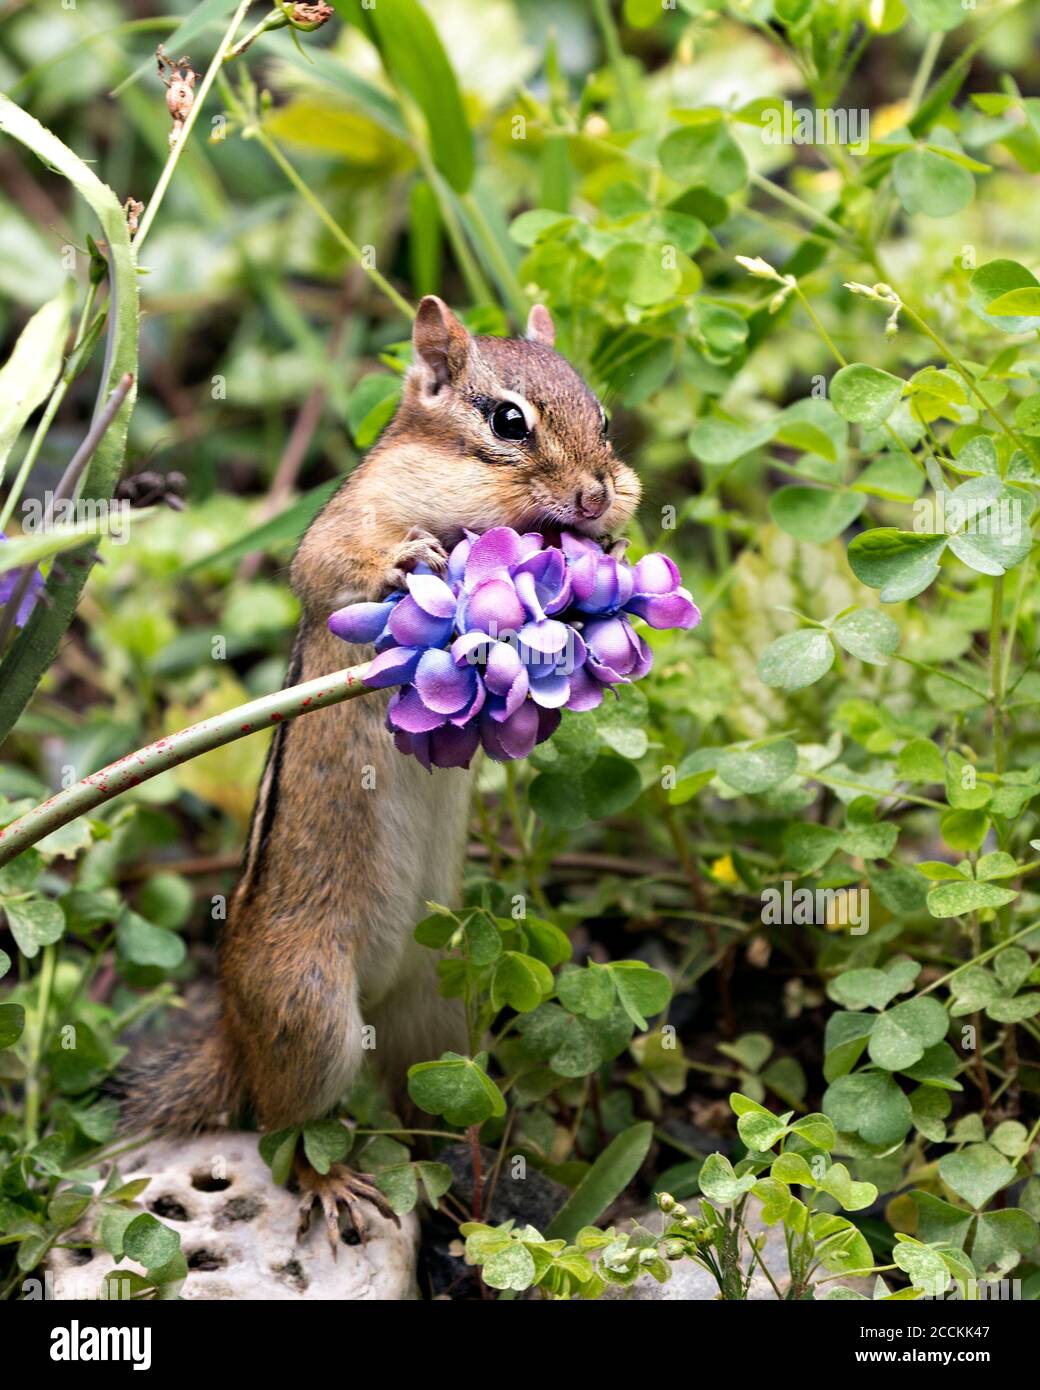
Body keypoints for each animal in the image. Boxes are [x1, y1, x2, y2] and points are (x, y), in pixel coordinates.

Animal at [124, 297, 641, 1244]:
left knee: (426, 1097)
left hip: (438, 1008)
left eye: (606, 420)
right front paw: (408, 562)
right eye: (507, 421)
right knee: (282, 1129)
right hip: (312, 1013)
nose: (595, 494)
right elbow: (330, 565)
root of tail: (233, 1031)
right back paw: (336, 1184)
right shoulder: (345, 523)